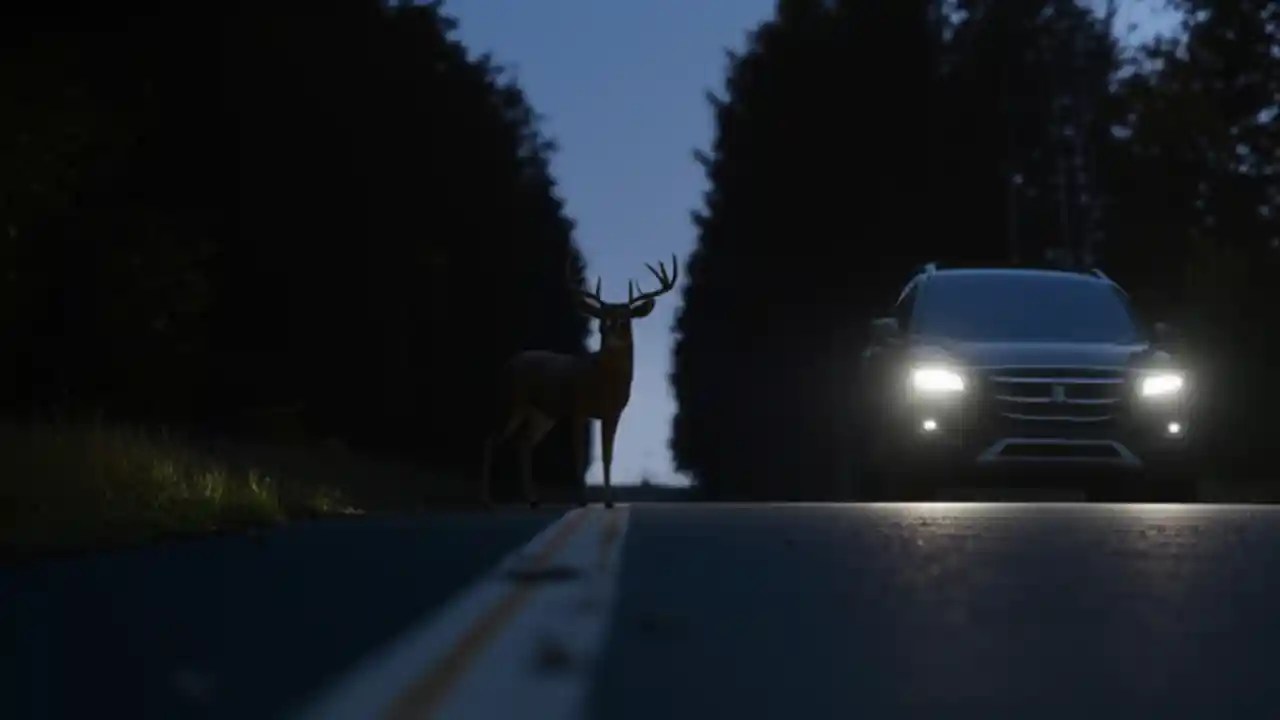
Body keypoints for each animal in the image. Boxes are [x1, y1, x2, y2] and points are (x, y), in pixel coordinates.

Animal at [480, 255, 679, 509]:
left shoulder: (613, 414)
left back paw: (532, 499)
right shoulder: (578, 409)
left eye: (625, 319)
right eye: (601, 316)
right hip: (514, 401)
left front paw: (609, 502)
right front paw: (583, 500)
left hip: (544, 413)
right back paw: (488, 500)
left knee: (523, 443)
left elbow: (607, 456)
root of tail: (509, 363)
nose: (606, 329)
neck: (604, 381)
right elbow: (580, 455)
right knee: (492, 439)